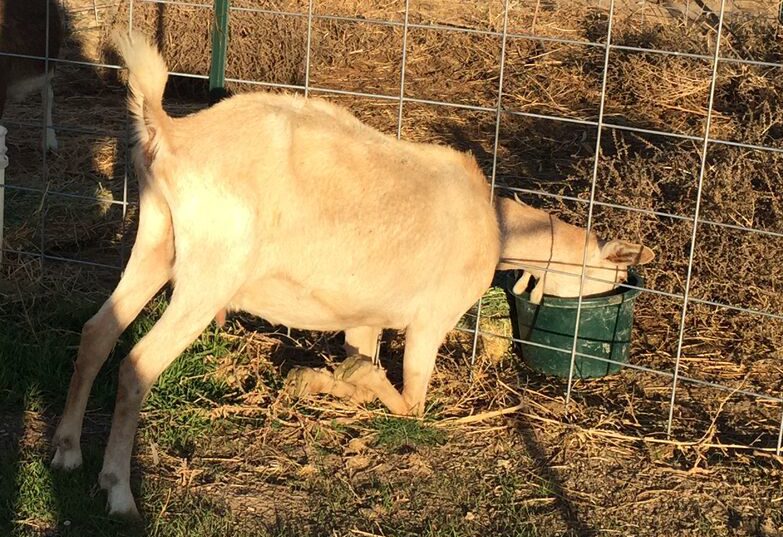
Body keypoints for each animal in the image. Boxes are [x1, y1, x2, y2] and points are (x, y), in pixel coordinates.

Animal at [51, 31, 653, 518]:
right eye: (610, 277)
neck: (499, 230)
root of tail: (171, 134)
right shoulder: (432, 318)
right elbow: (412, 405)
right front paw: (350, 377)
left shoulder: (365, 317)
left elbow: (358, 365)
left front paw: (320, 379)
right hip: (209, 273)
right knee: (138, 364)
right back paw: (119, 493)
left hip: (157, 242)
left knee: (97, 332)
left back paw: (66, 453)